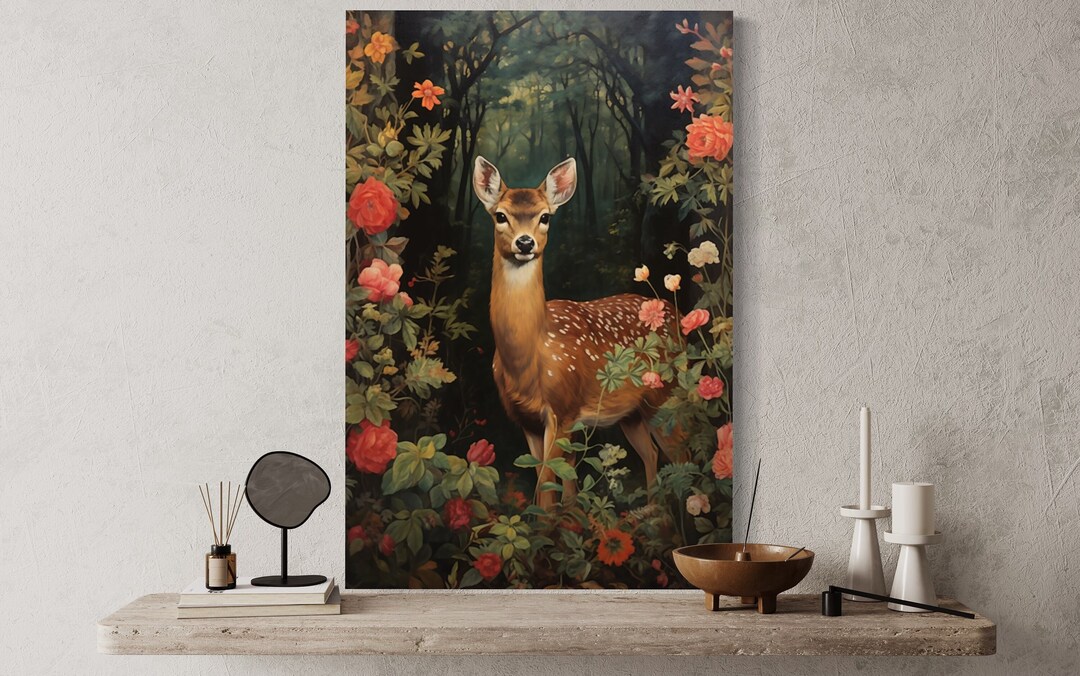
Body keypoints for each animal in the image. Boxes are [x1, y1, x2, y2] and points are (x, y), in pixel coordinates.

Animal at [474, 155, 685, 509]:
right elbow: (553, 480)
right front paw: (567, 517)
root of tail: (679, 319)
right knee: (652, 453)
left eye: (545, 216)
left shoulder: (562, 409)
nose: (525, 242)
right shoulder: (526, 420)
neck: (529, 359)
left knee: (686, 450)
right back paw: (652, 509)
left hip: (668, 395)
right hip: (632, 413)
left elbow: (548, 484)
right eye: (500, 215)